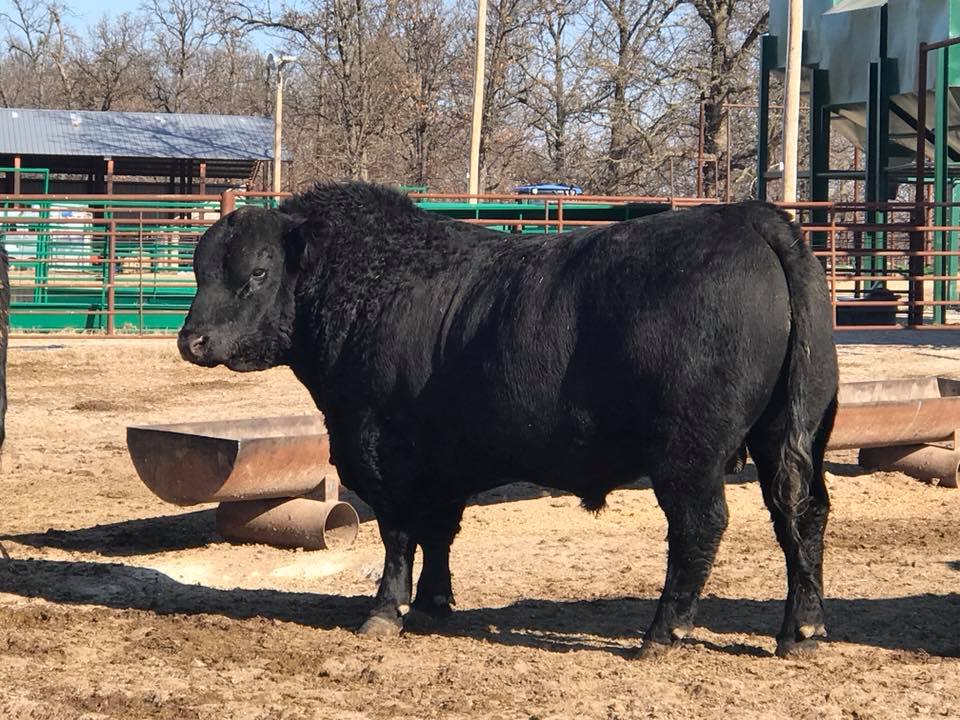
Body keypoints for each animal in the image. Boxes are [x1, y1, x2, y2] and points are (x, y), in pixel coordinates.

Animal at [178, 183, 838, 658]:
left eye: (257, 273)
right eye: (199, 270)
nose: (193, 340)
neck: (371, 289)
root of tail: (749, 219)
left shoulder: (383, 452)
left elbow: (399, 535)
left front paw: (385, 611)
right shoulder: (441, 461)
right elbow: (440, 531)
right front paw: (434, 603)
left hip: (689, 454)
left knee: (699, 527)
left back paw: (660, 635)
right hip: (790, 434)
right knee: (802, 513)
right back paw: (800, 631)